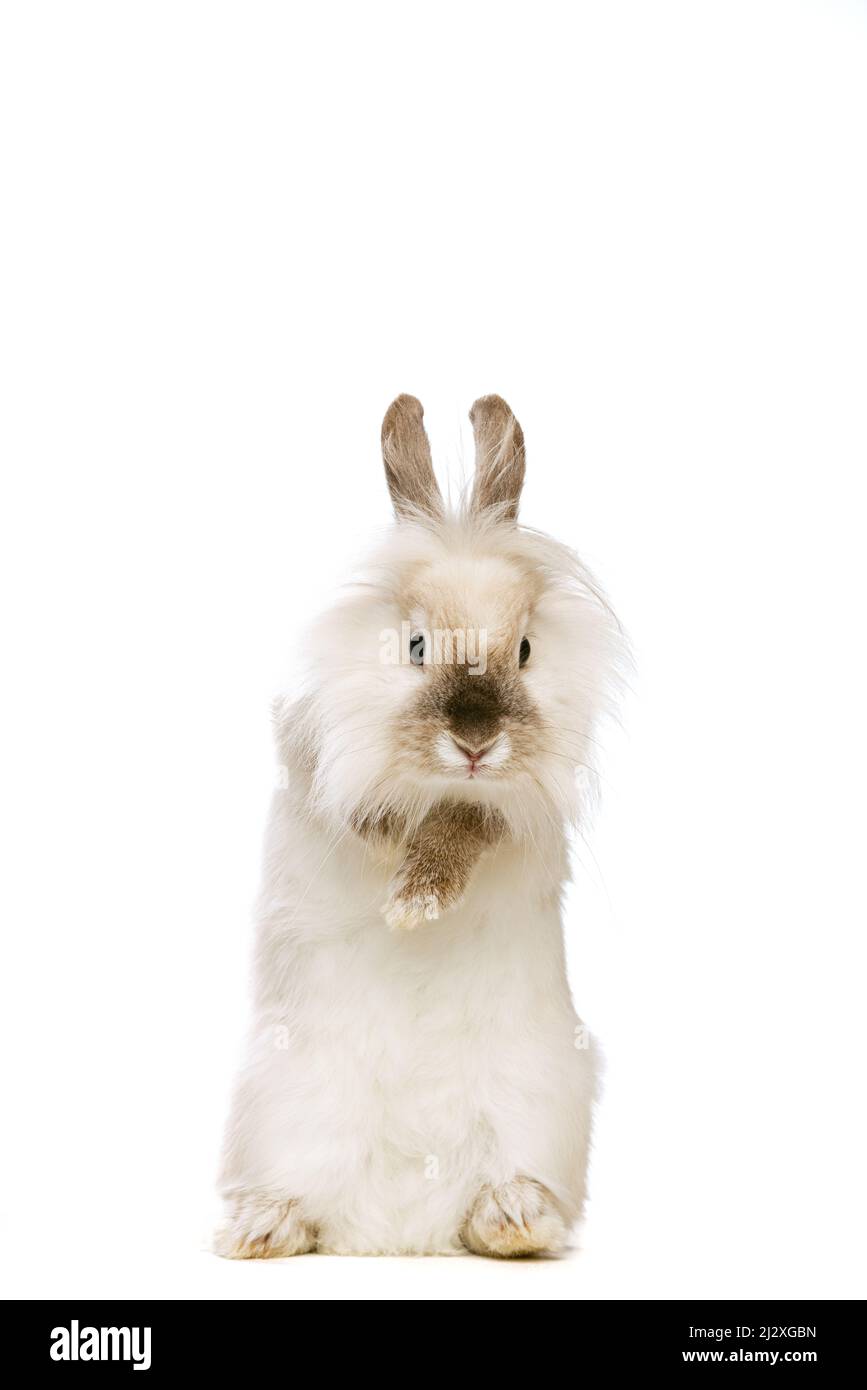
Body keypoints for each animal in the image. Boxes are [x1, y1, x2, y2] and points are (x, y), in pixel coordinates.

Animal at [215, 394, 624, 1258]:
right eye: (413, 645)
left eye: (525, 648)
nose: (474, 740)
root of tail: (400, 1233)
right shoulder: (311, 761)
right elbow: (360, 813)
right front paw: (397, 873)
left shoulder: (514, 813)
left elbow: (466, 827)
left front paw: (417, 898)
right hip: (278, 1112)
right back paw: (264, 1227)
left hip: (541, 1113)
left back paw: (511, 1219)